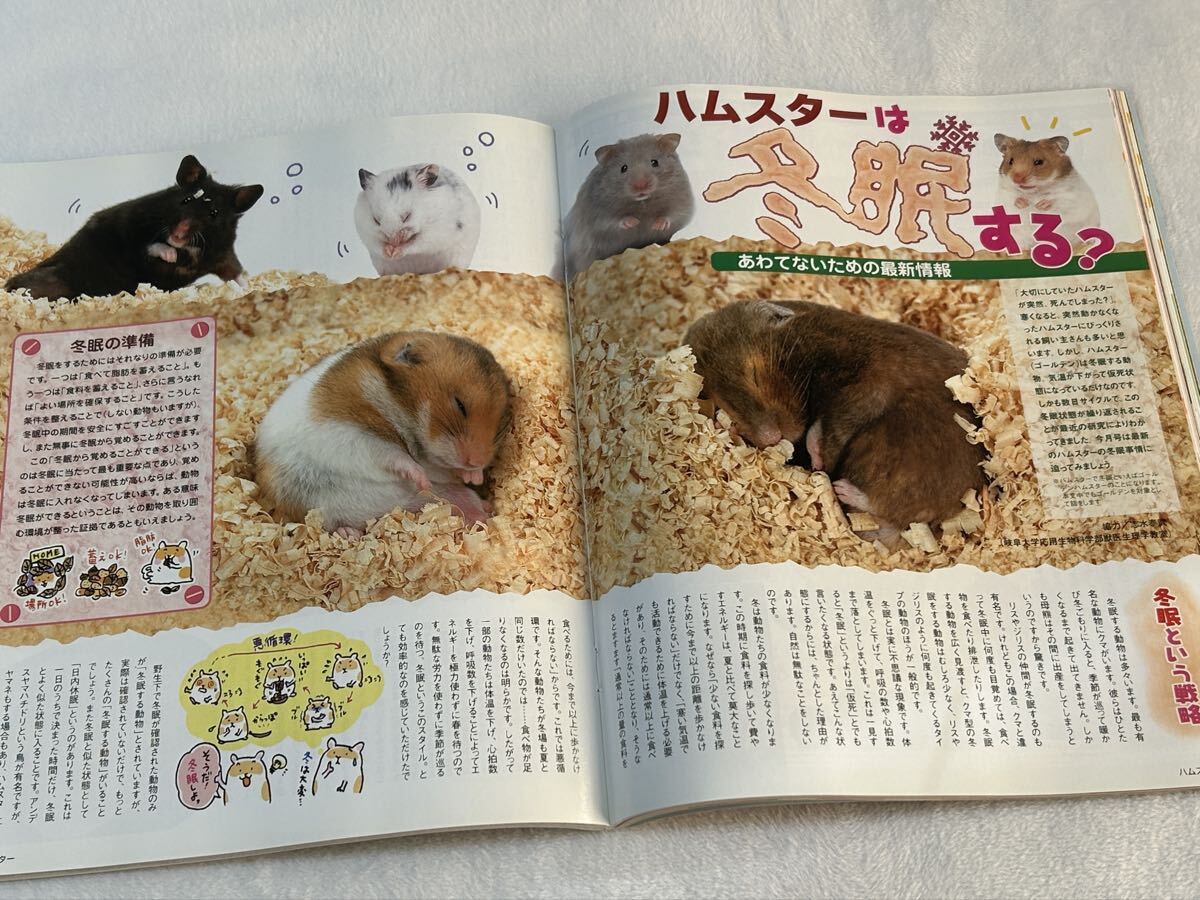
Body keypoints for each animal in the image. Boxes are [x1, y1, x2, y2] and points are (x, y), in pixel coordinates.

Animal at [5, 155, 262, 302]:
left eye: (214, 214)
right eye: (185, 200)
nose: (179, 232)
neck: (190, 249)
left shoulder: (222, 254)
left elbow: (237, 272)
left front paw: (249, 289)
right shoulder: (131, 229)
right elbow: (150, 246)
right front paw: (170, 255)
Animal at [255, 330, 513, 538]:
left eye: (501, 417)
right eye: (460, 405)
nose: (476, 461)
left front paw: (473, 477)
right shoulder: (355, 435)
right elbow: (395, 456)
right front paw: (421, 478)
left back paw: (484, 510)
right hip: (316, 504)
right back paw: (349, 534)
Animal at [563, 133, 694, 278]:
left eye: (655, 162)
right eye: (623, 168)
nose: (641, 186)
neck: (642, 201)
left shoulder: (682, 203)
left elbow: (671, 215)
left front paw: (656, 225)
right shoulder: (600, 215)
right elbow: (615, 221)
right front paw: (635, 222)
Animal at [685, 299, 987, 544]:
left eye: (755, 375)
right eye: (720, 402)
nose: (772, 438)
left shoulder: (865, 388)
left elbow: (833, 429)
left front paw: (817, 459)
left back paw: (842, 489)